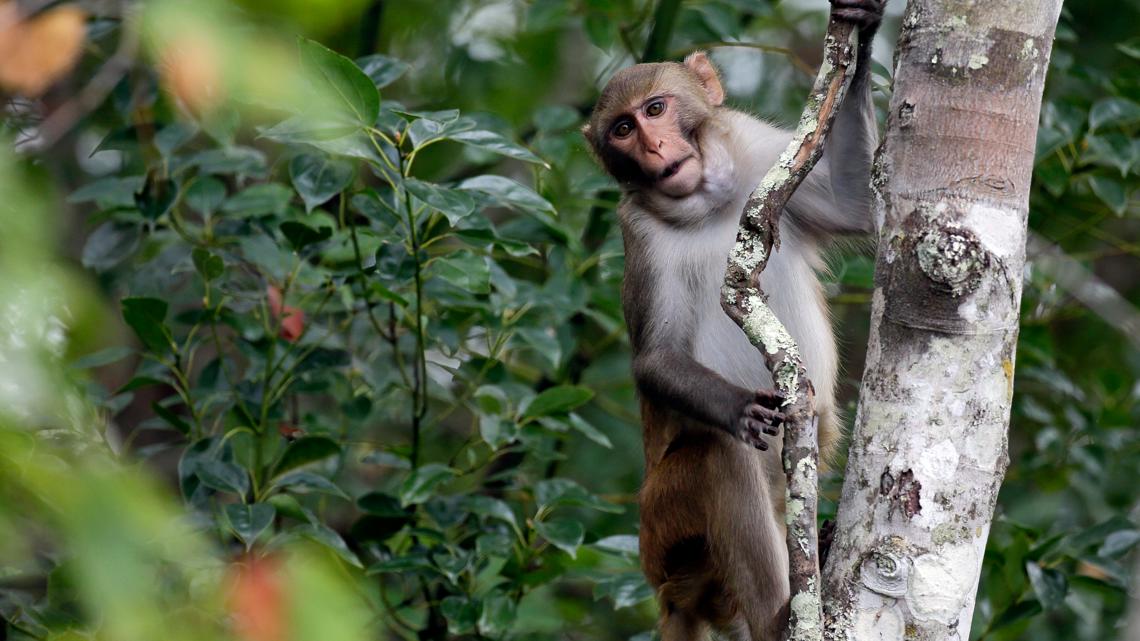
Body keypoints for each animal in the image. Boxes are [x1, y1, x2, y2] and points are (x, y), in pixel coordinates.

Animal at [581, 2, 883, 639]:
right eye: (622, 130)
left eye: (655, 109)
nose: (653, 147)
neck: (706, 203)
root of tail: (672, 593)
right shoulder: (638, 234)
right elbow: (656, 358)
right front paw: (739, 407)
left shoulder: (759, 149)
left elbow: (855, 205)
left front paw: (864, 30)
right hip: (664, 525)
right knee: (719, 458)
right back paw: (777, 616)